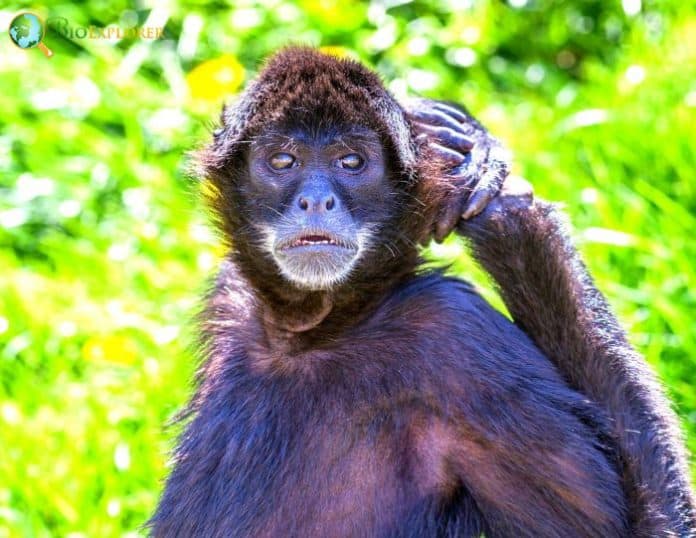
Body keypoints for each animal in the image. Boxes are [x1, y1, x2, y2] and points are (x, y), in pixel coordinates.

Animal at [148, 47, 694, 537]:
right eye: (283, 160)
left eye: (351, 162)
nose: (315, 199)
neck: (313, 335)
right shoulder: (233, 295)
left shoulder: (453, 332)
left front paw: (484, 169)